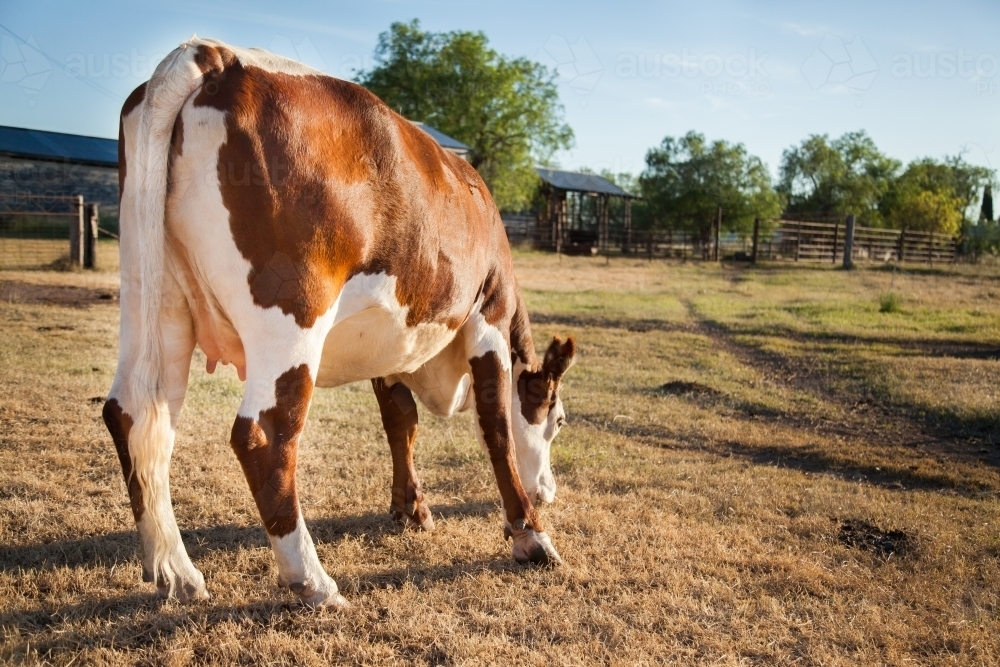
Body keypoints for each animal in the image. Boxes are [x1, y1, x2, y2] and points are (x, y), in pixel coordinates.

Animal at [102, 37, 577, 608]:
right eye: (557, 420)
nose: (547, 491)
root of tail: (216, 54)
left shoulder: (392, 344)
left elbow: (400, 422)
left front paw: (410, 508)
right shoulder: (489, 318)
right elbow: (497, 428)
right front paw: (529, 534)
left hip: (154, 297)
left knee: (137, 415)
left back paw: (177, 572)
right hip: (293, 314)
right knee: (263, 435)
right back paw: (312, 580)